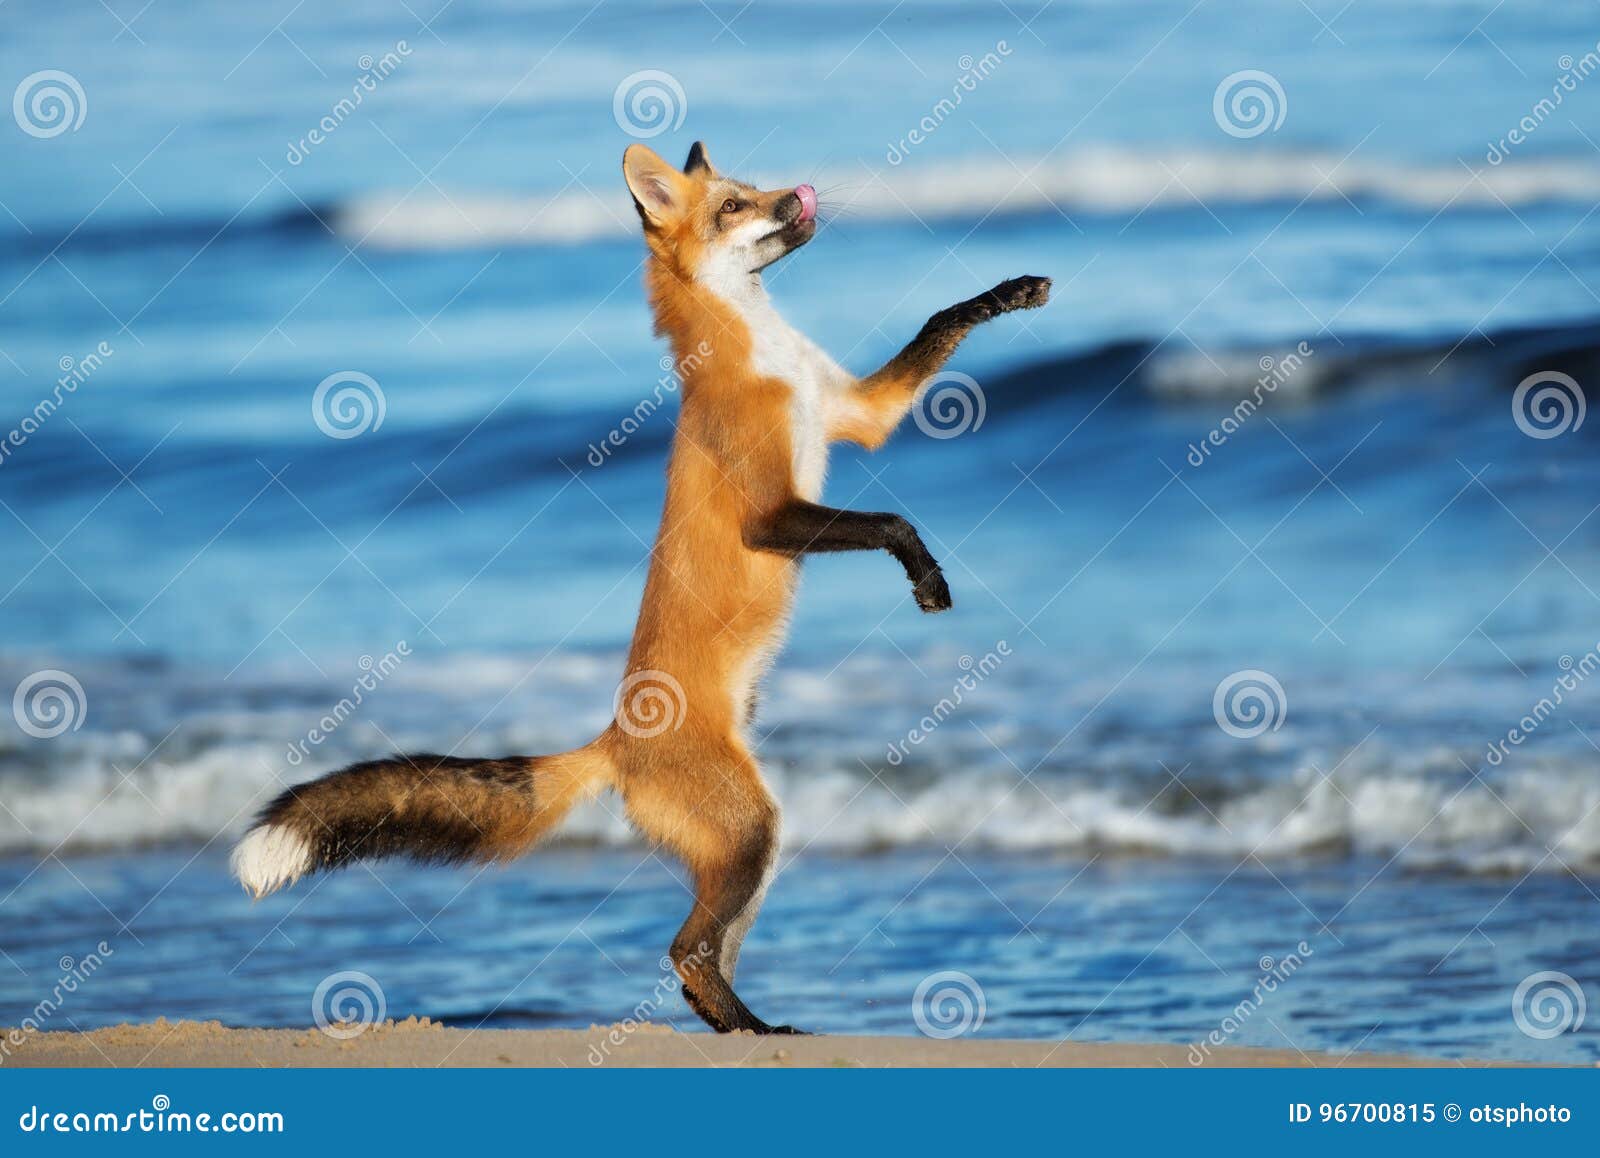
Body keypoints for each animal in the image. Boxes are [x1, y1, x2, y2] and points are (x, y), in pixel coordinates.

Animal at [231, 140, 1050, 1034]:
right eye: (734, 207)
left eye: (752, 189)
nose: (802, 196)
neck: (762, 354)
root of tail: (614, 742)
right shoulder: (769, 515)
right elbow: (892, 521)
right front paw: (927, 579)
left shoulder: (860, 413)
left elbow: (938, 323)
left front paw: (1011, 292)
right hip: (753, 830)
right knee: (685, 951)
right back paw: (756, 1030)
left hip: (749, 845)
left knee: (700, 957)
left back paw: (741, 1026)